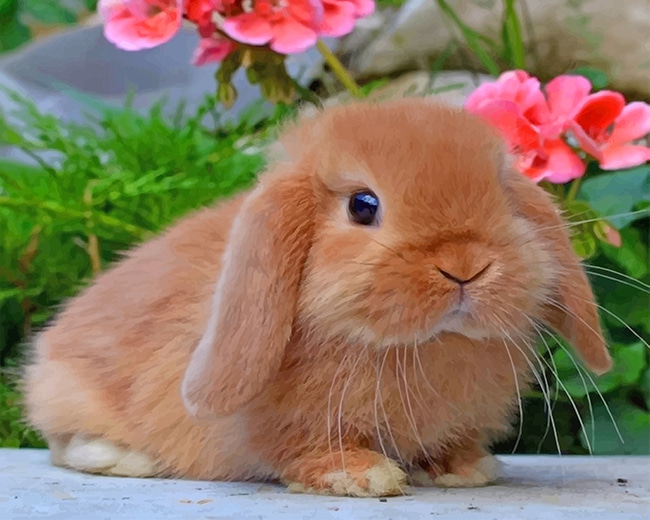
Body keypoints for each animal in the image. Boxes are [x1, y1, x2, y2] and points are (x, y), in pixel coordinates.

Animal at [20, 97, 612, 498]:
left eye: (503, 195)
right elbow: (303, 450)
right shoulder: (282, 426)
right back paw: (129, 459)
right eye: (362, 205)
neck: (416, 347)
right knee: (62, 443)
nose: (465, 265)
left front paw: (466, 469)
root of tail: (46, 350)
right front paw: (362, 475)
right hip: (68, 390)